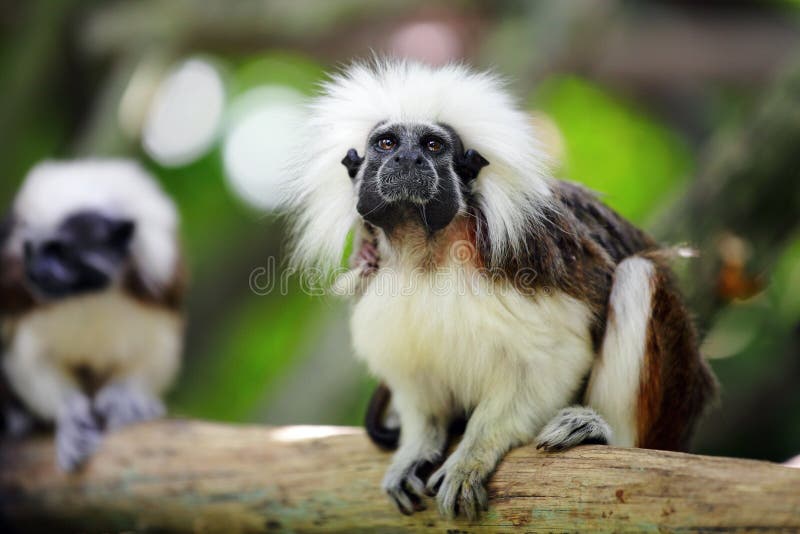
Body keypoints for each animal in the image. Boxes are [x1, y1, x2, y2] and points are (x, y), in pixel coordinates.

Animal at [0, 159, 185, 471]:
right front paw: (70, 415)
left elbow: (157, 350)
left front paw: (126, 397)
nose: (37, 271)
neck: (88, 292)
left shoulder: (162, 277)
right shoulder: (14, 284)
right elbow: (29, 359)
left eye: (60, 251)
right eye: (31, 250)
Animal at [284, 59, 717, 520]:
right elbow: (418, 386)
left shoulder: (523, 256)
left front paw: (472, 456)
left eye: (433, 146)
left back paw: (599, 431)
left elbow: (552, 359)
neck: (426, 253)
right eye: (386, 143)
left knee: (638, 276)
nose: (408, 157)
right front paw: (417, 448)